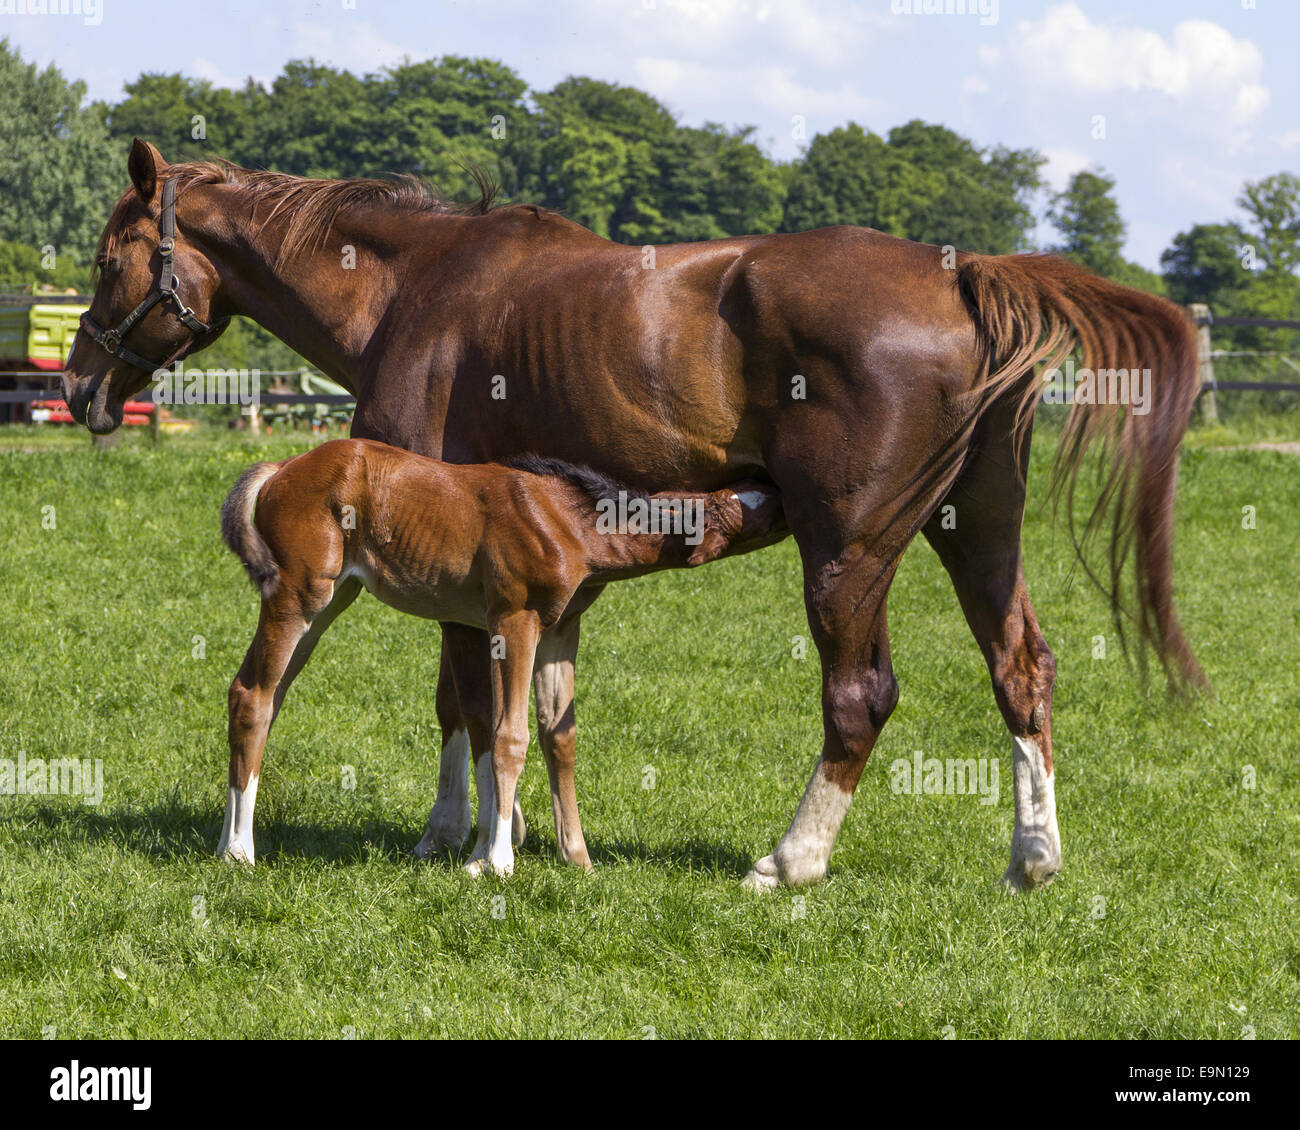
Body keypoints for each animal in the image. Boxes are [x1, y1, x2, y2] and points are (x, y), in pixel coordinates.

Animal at [218, 437, 784, 873]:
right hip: (299, 596)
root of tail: (280, 469)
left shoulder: (558, 631)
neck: (565, 518)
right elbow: (508, 736)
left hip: (333, 598)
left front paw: (577, 858)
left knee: (259, 693)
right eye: (750, 504)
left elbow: (557, 735)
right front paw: (494, 862)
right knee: (254, 696)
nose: (780, 486)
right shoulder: (514, 621)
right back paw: (240, 852)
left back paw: (226, 840)